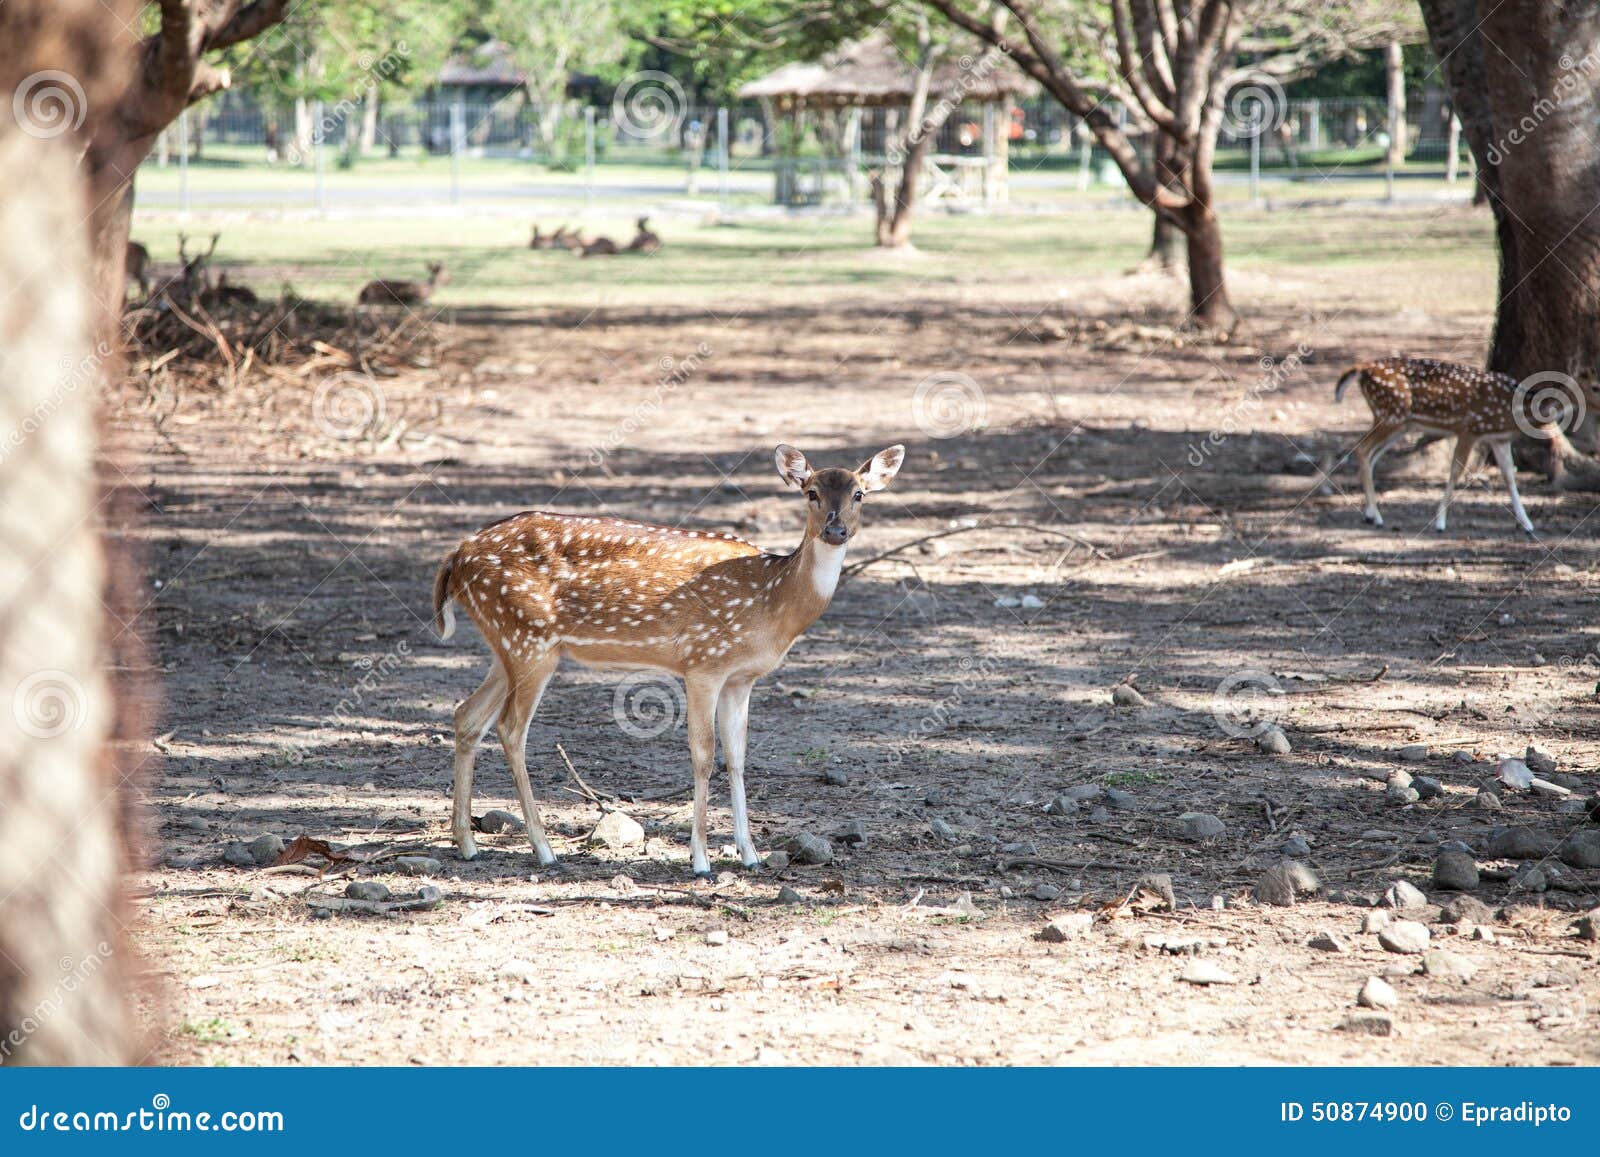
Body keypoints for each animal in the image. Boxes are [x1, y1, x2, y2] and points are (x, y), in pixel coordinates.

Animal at [431, 443, 906, 879]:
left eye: (860, 494)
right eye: (811, 492)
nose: (836, 530)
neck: (771, 602)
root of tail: (456, 556)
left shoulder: (741, 678)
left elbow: (738, 755)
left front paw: (749, 854)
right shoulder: (703, 662)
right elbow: (704, 754)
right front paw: (701, 861)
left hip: (507, 645)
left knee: (467, 715)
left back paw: (467, 843)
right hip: (529, 639)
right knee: (511, 728)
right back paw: (543, 849)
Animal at [1337, 356, 1594, 535]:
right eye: (1595, 386)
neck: (1513, 412)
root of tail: (1361, 369)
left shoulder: (1498, 439)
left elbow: (1509, 476)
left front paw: (1528, 524)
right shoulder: (1469, 429)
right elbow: (1456, 471)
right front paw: (1440, 523)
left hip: (1400, 424)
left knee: (1371, 455)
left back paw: (1370, 514)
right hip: (1391, 415)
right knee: (1362, 449)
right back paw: (1377, 518)